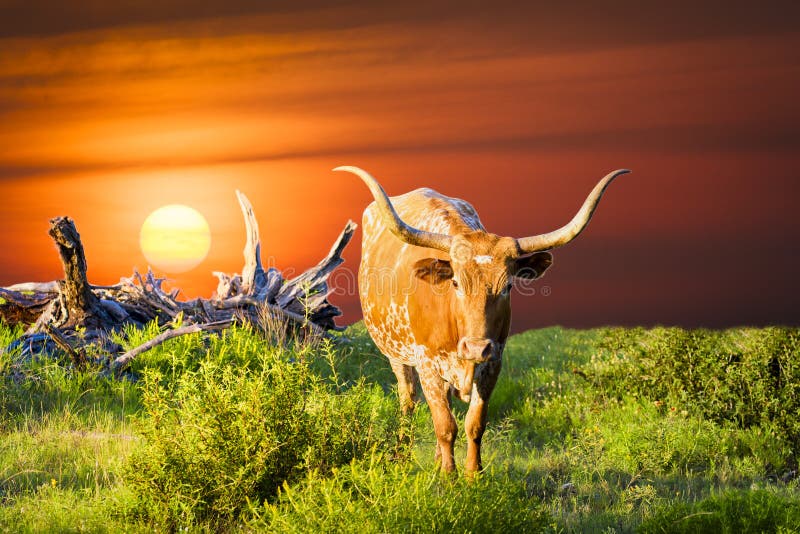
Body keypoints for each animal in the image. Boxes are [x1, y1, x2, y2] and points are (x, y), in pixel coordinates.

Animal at [335, 166, 629, 474]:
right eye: (455, 283)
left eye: (508, 286)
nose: (476, 348)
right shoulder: (427, 364)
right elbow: (445, 425)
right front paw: (449, 475)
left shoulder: (493, 363)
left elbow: (474, 424)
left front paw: (472, 473)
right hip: (396, 355)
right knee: (408, 399)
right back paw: (402, 455)